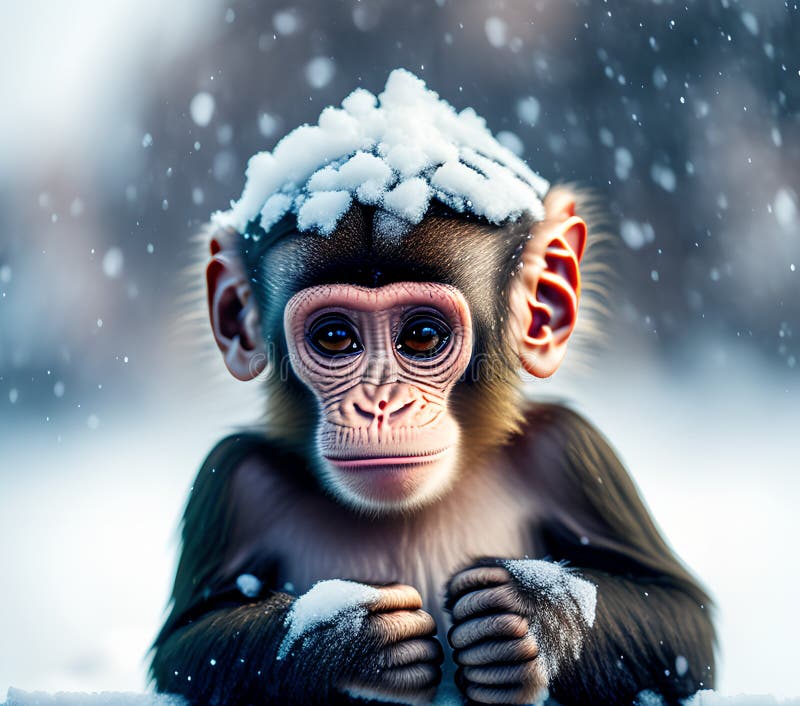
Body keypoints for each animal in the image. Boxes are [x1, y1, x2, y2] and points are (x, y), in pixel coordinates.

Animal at [150, 70, 715, 706]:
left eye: (422, 336)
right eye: (335, 337)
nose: (379, 403)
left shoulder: (572, 451)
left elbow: (681, 619)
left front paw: (529, 618)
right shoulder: (233, 479)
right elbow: (183, 650)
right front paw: (353, 638)